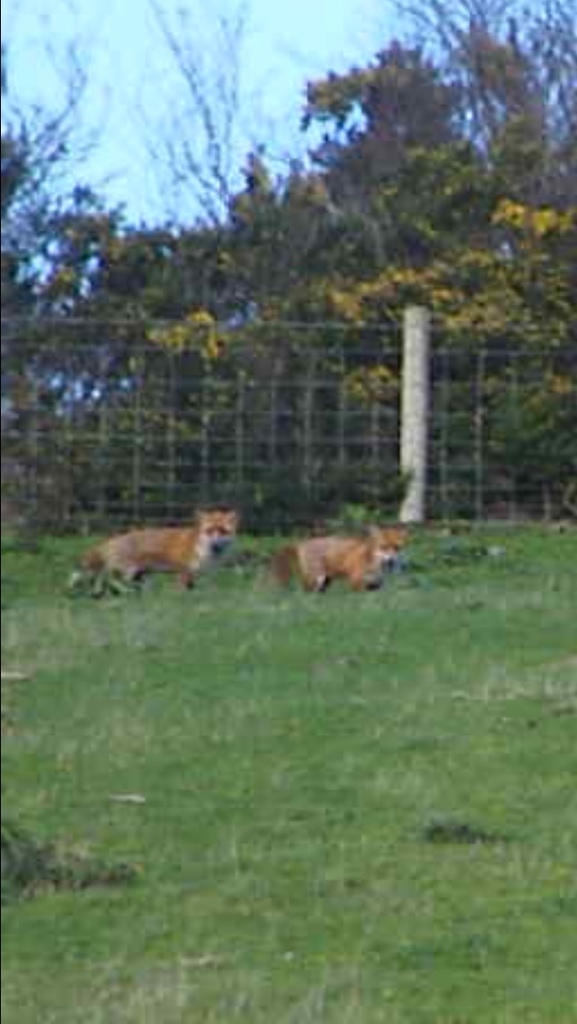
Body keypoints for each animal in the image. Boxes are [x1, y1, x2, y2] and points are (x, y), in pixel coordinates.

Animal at [69, 508, 239, 594]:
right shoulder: (183, 572)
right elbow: (182, 591)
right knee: (108, 578)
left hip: (140, 575)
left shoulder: (199, 576)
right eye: (209, 531)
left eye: (223, 531)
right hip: (127, 571)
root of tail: (111, 540)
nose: (214, 543)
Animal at [271, 526, 408, 592]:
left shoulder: (376, 585)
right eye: (383, 547)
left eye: (396, 548)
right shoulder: (356, 582)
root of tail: (301, 543)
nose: (390, 560)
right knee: (306, 593)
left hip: (325, 582)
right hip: (316, 579)